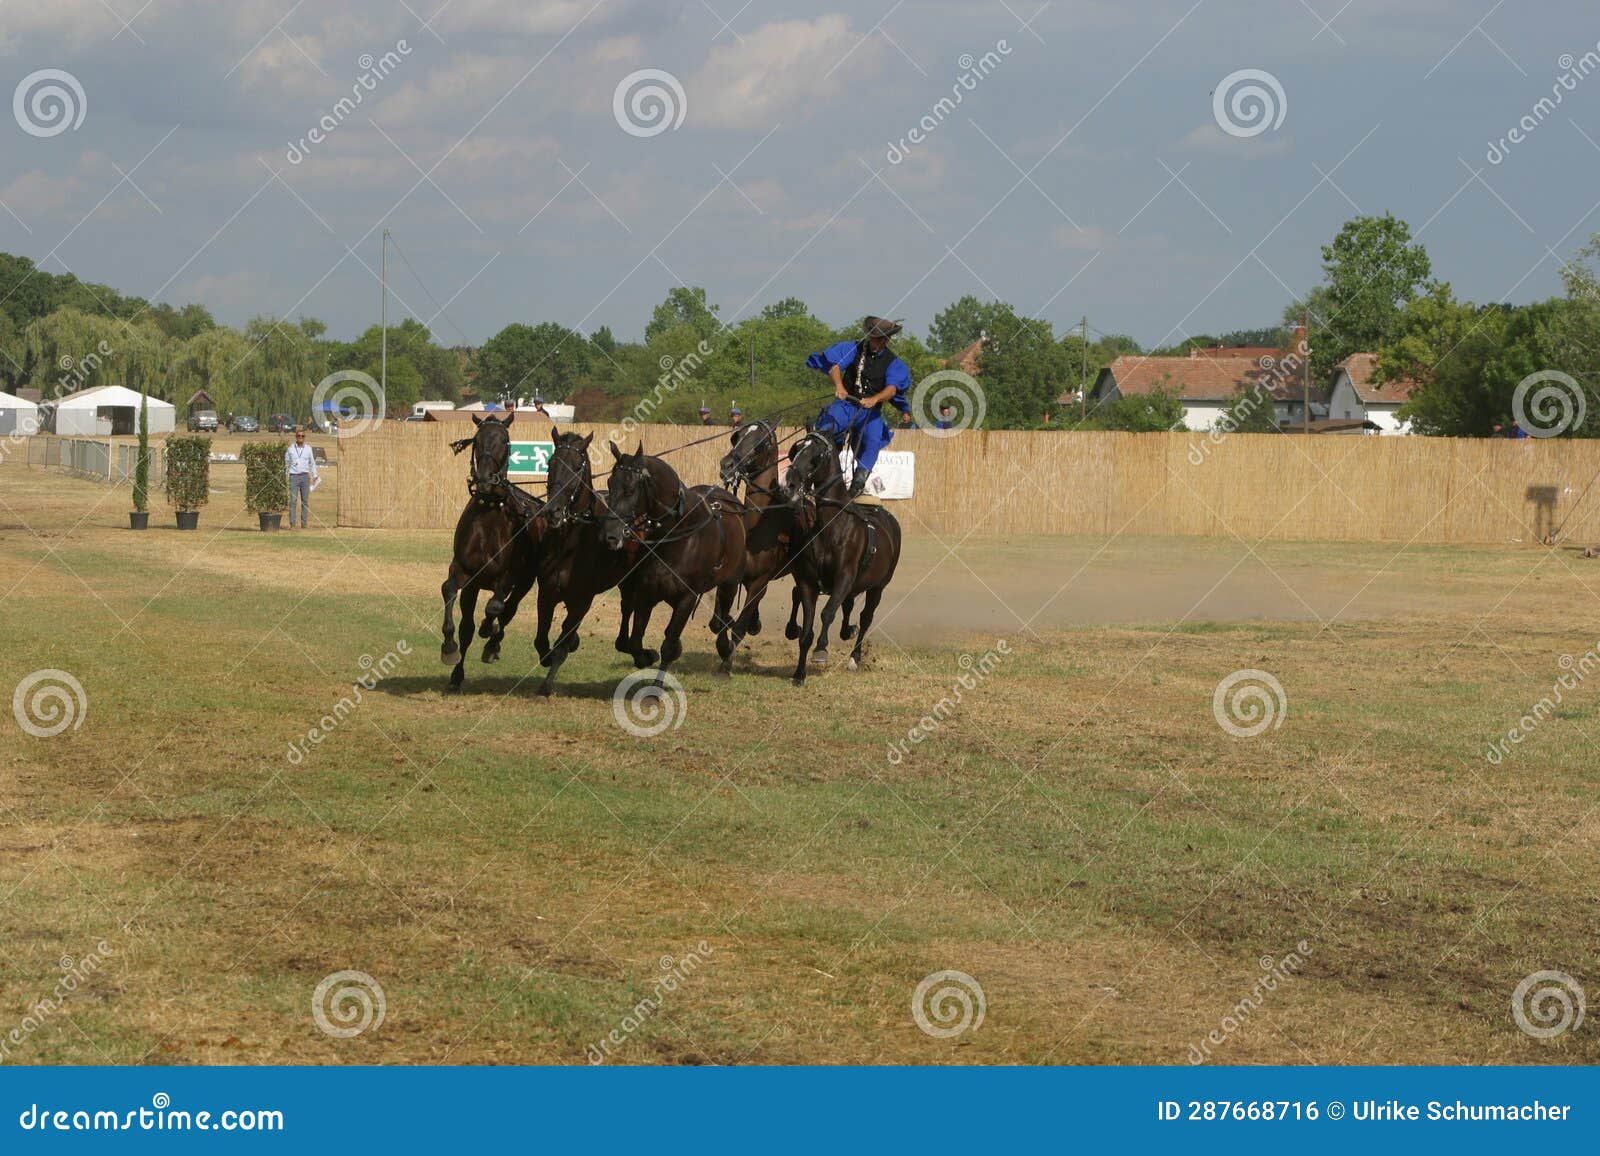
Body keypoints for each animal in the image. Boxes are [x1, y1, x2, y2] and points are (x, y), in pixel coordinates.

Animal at [439, 413, 546, 690]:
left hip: (525, 582)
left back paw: (492, 643)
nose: (485, 480)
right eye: (477, 441)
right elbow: (450, 593)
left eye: (505, 442)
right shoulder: (466, 574)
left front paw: (489, 630)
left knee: (508, 611)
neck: (489, 514)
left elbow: (496, 607)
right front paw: (449, 648)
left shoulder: (508, 577)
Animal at [530, 429, 635, 697]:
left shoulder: (582, 600)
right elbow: (541, 640)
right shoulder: (547, 593)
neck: (570, 543)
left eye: (578, 466)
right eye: (550, 463)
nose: (554, 511)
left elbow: (560, 644)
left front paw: (546, 686)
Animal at [600, 443, 747, 689]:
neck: (679, 536)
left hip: (730, 583)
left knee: (721, 619)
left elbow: (668, 645)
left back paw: (726, 654)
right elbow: (635, 641)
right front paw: (647, 656)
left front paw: (656, 688)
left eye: (630, 489)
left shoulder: (687, 598)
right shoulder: (646, 593)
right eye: (610, 484)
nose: (610, 535)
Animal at [779, 427, 902, 685]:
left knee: (865, 617)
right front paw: (799, 673)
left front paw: (821, 650)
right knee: (849, 606)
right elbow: (807, 628)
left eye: (817, 454)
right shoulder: (808, 581)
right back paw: (847, 631)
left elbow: (827, 613)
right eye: (796, 449)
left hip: (878, 586)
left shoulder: (844, 577)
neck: (832, 526)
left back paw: (855, 657)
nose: (789, 484)